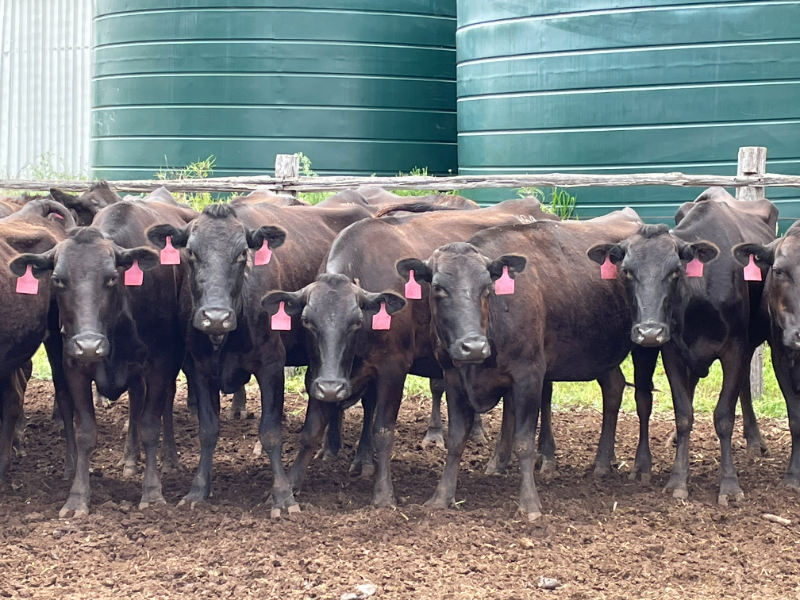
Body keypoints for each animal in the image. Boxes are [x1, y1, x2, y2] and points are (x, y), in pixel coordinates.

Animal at [10, 194, 196, 517]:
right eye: (58, 279)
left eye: (111, 278)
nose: (89, 346)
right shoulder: (74, 367)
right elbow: (85, 431)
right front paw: (77, 497)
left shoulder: (160, 364)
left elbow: (150, 425)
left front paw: (152, 492)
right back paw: (110, 462)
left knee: (161, 405)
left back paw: (169, 460)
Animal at [146, 200, 373, 516]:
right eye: (191, 252)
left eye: (243, 253)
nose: (216, 316)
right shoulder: (199, 368)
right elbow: (207, 430)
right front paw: (198, 490)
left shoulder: (271, 366)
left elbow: (270, 432)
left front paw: (283, 495)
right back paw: (330, 449)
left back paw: (363, 460)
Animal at [260, 198, 564, 509]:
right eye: (307, 321)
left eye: (356, 321)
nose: (333, 387)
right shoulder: (320, 372)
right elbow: (311, 430)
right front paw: (290, 486)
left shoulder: (393, 367)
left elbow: (383, 431)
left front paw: (383, 494)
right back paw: (498, 460)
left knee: (543, 396)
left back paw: (545, 455)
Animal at [395, 209, 660, 521]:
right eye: (437, 288)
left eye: (487, 287)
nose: (473, 346)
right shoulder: (452, 377)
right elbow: (457, 438)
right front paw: (442, 496)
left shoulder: (528, 376)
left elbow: (524, 442)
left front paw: (530, 504)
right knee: (614, 387)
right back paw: (602, 462)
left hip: (645, 343)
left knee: (642, 397)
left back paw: (641, 467)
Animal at [587, 190, 776, 504]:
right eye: (626, 271)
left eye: (676, 270)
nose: (650, 331)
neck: (698, 300)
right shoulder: (673, 352)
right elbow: (684, 414)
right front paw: (678, 479)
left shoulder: (735, 348)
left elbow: (724, 416)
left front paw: (729, 484)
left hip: (749, 341)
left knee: (744, 387)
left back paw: (754, 439)